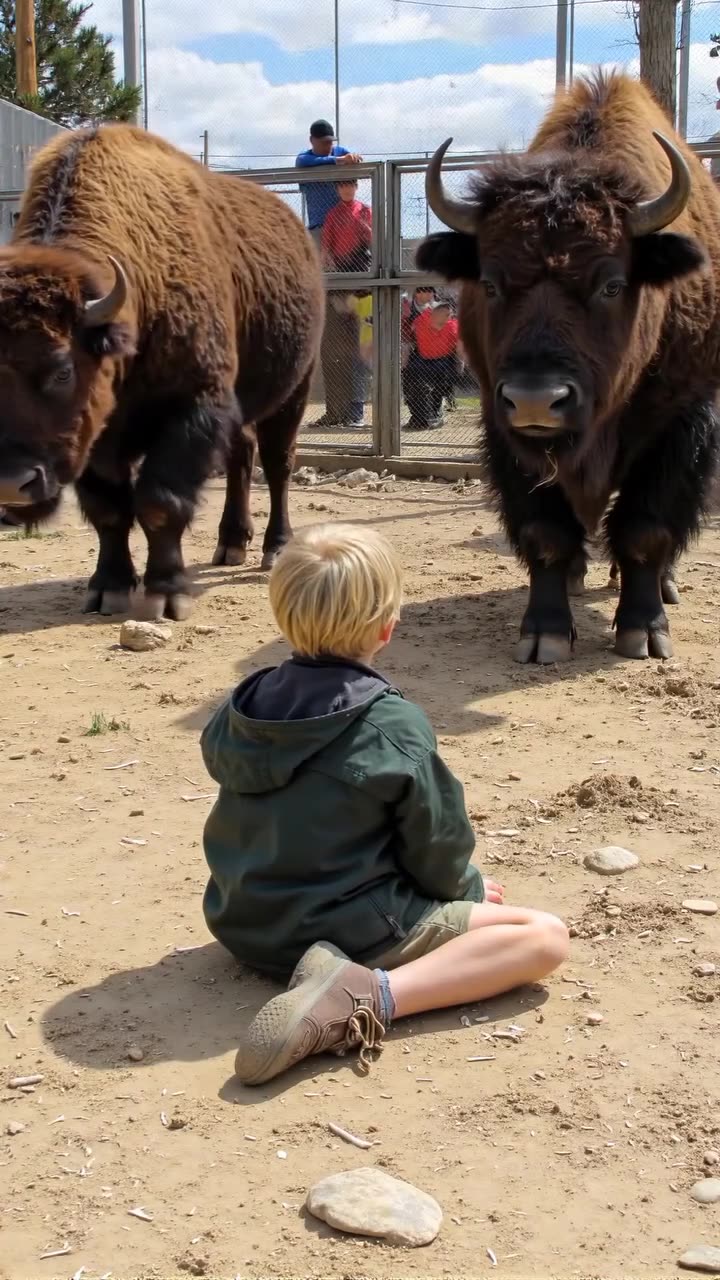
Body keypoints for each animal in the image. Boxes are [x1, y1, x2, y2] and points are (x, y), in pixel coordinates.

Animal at [0, 123, 324, 619]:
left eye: (62, 370)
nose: (11, 485)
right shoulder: (100, 435)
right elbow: (109, 510)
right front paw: (108, 589)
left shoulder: (191, 407)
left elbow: (159, 502)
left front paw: (166, 594)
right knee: (241, 456)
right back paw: (231, 544)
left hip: (293, 391)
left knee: (277, 463)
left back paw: (274, 547)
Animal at [418, 71, 720, 662]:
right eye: (489, 282)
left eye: (613, 284)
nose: (537, 399)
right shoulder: (508, 434)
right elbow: (546, 535)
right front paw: (546, 635)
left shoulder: (680, 424)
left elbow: (646, 530)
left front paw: (644, 633)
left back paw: (664, 587)